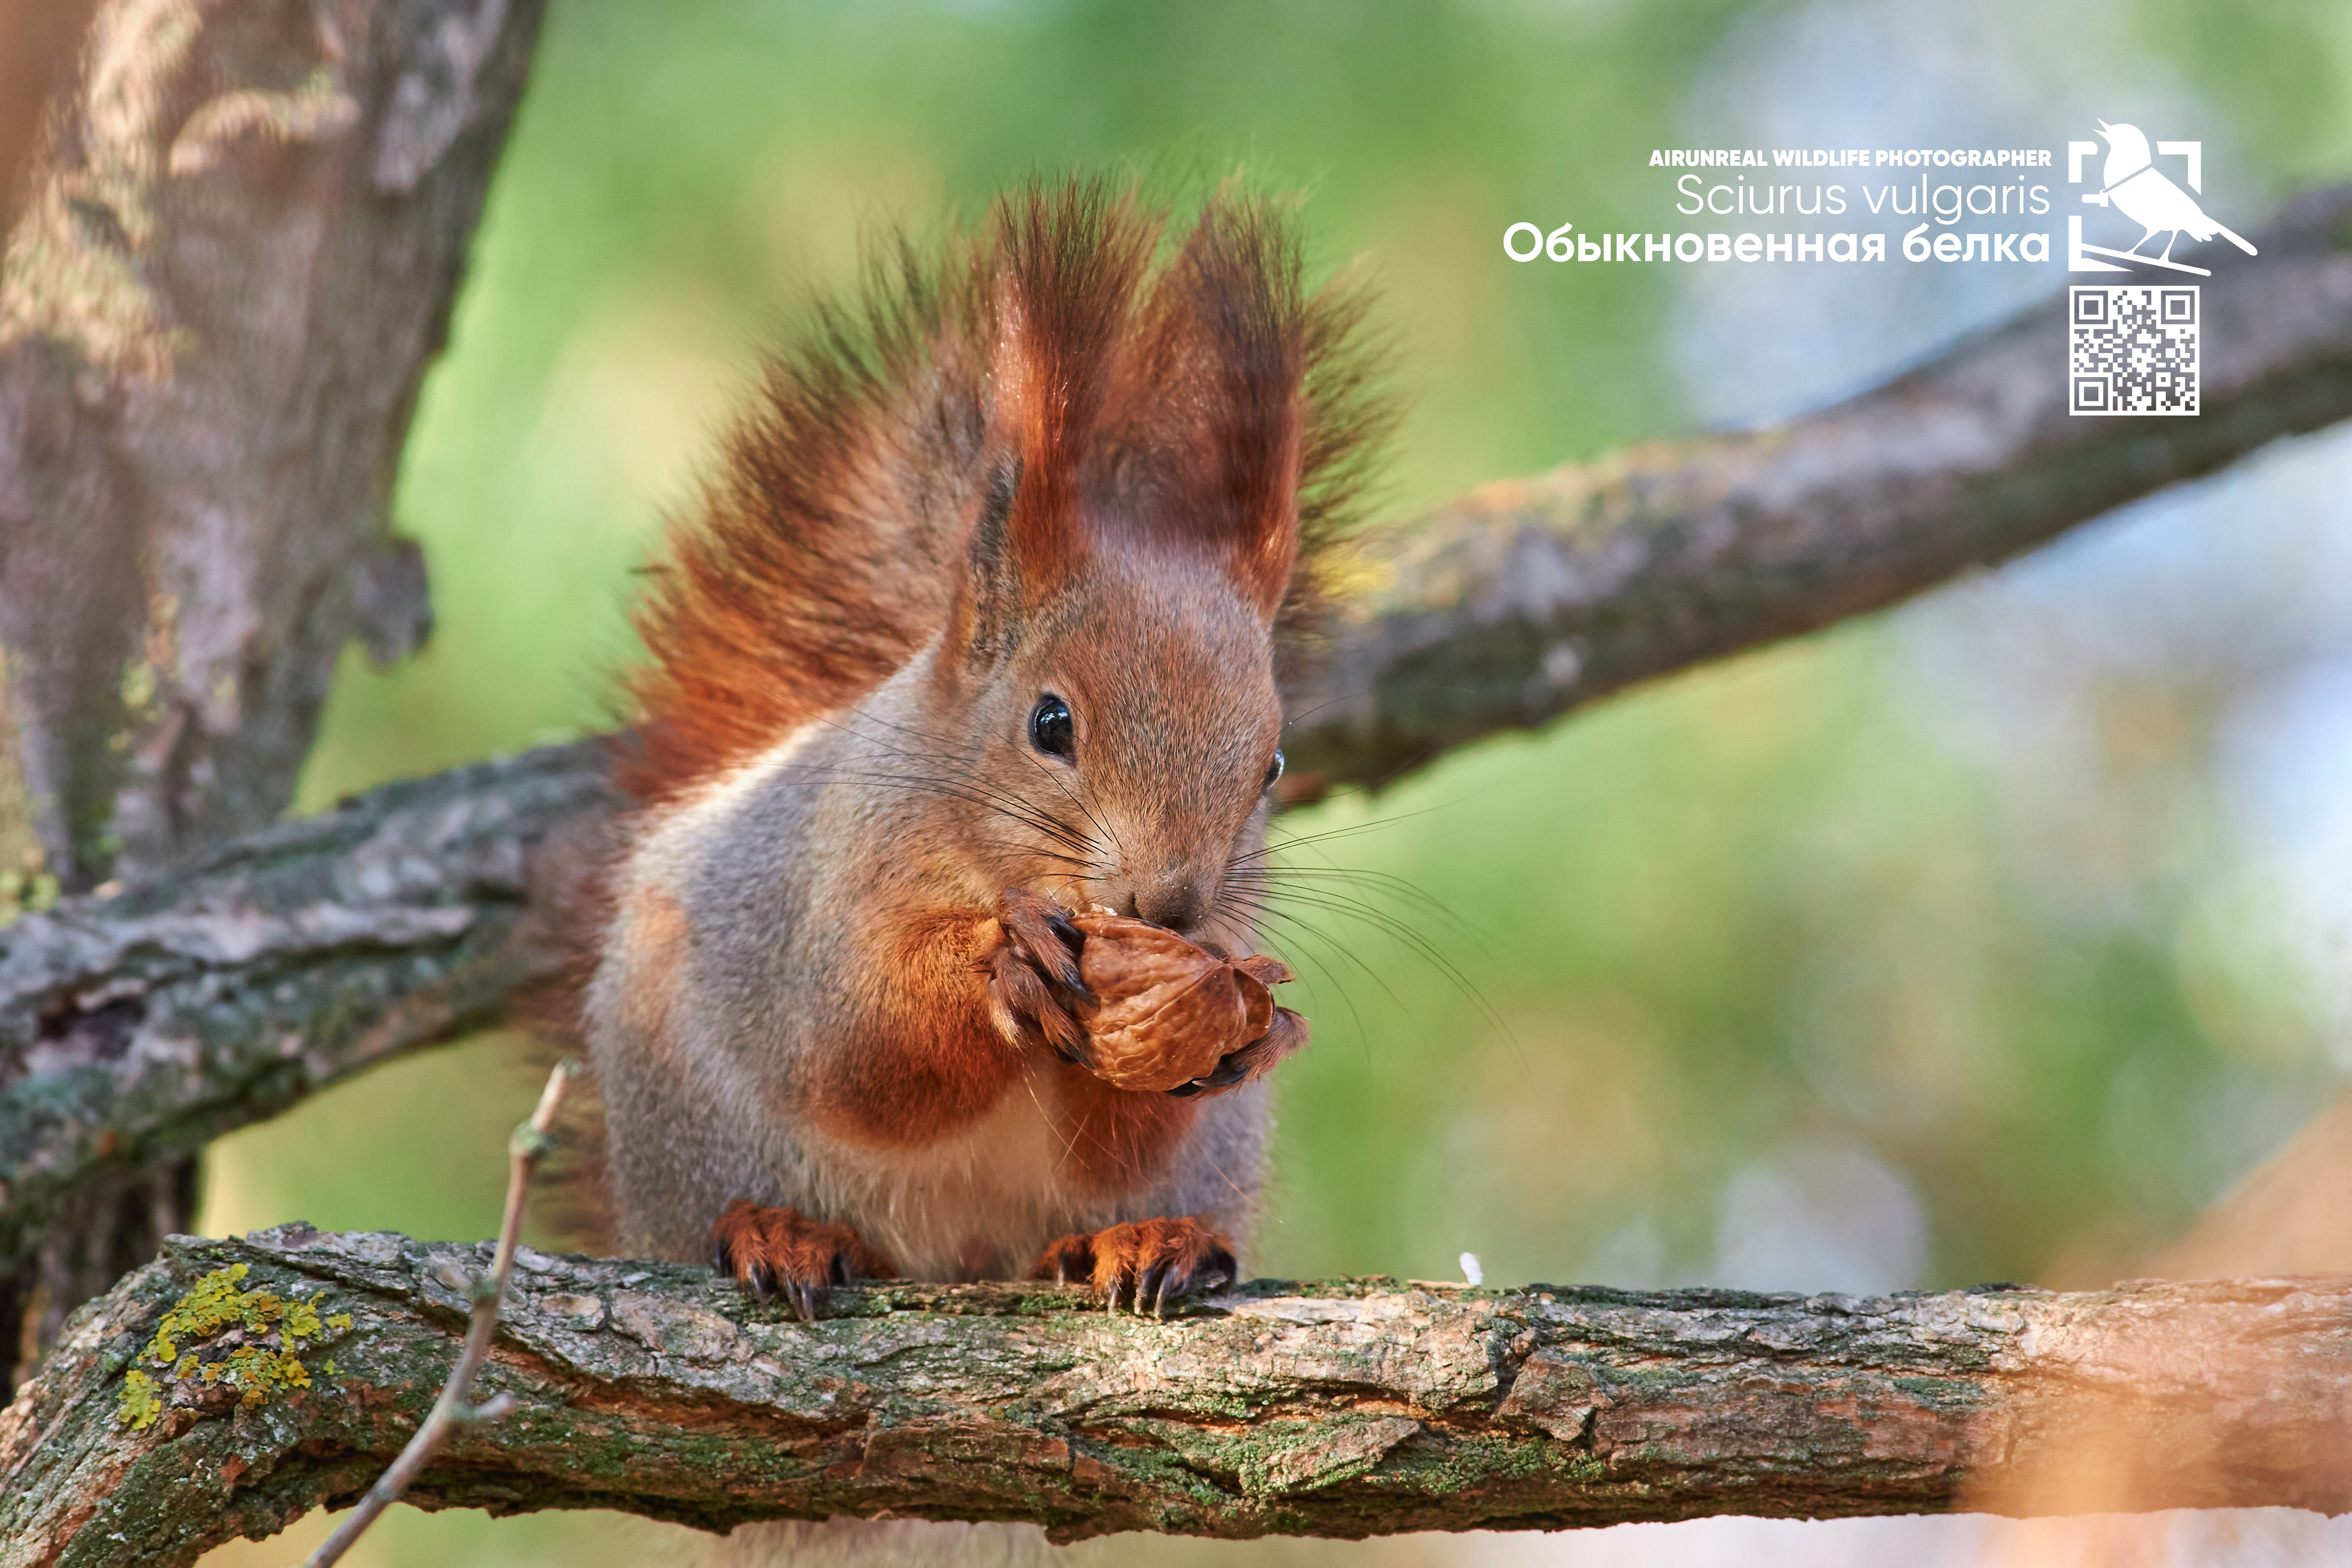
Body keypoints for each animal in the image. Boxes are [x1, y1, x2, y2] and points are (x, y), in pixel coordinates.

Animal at [583, 177, 1374, 1316]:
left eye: (1269, 766)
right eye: (1050, 724)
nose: (1171, 905)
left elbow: (1120, 1133)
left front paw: (1250, 1031)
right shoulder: (819, 896)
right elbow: (857, 1048)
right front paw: (1004, 958)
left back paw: (1145, 1240)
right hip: (688, 1125)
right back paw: (779, 1229)